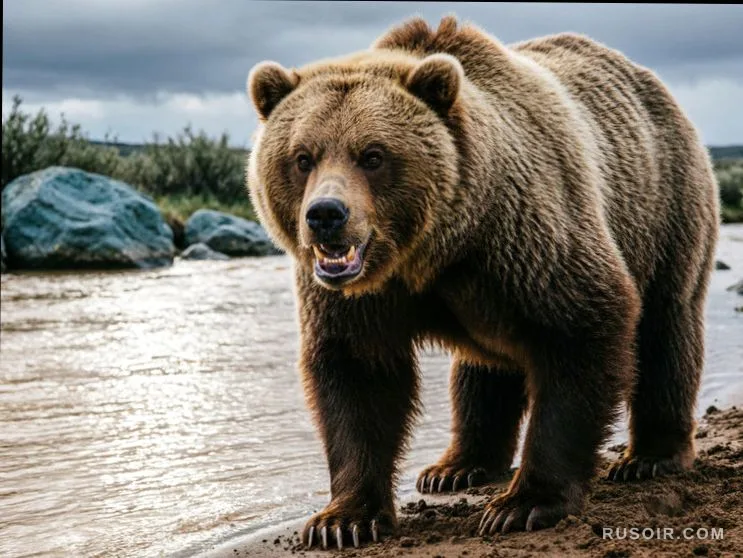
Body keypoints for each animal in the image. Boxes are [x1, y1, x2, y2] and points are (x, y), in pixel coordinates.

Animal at [246, 15, 719, 550]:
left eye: (373, 155)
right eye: (303, 156)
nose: (326, 215)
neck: (437, 250)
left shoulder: (527, 239)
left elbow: (583, 328)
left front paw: (524, 503)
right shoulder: (362, 296)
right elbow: (357, 373)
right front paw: (342, 519)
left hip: (662, 205)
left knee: (665, 328)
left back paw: (651, 457)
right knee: (484, 368)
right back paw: (457, 466)